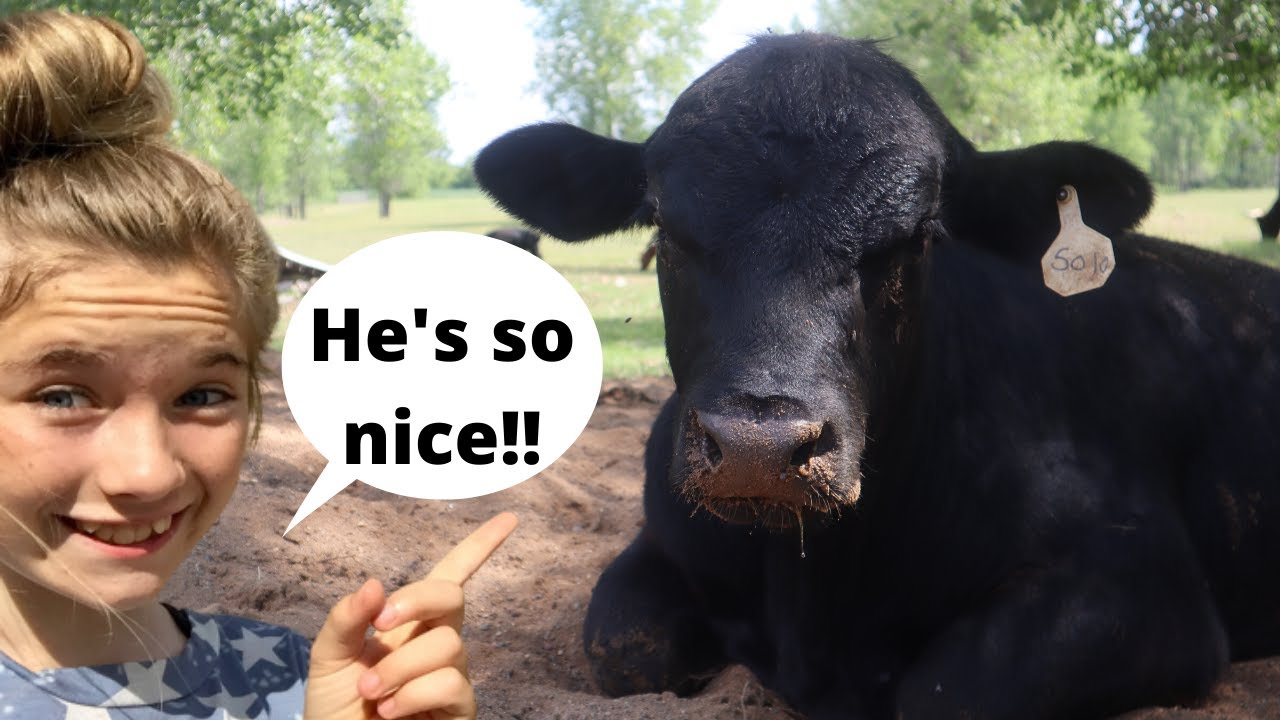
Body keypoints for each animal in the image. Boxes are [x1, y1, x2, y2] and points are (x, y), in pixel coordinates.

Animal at [473, 33, 1280, 720]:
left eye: (917, 237)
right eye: (665, 229)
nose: (759, 450)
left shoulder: (1141, 585)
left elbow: (945, 694)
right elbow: (622, 646)